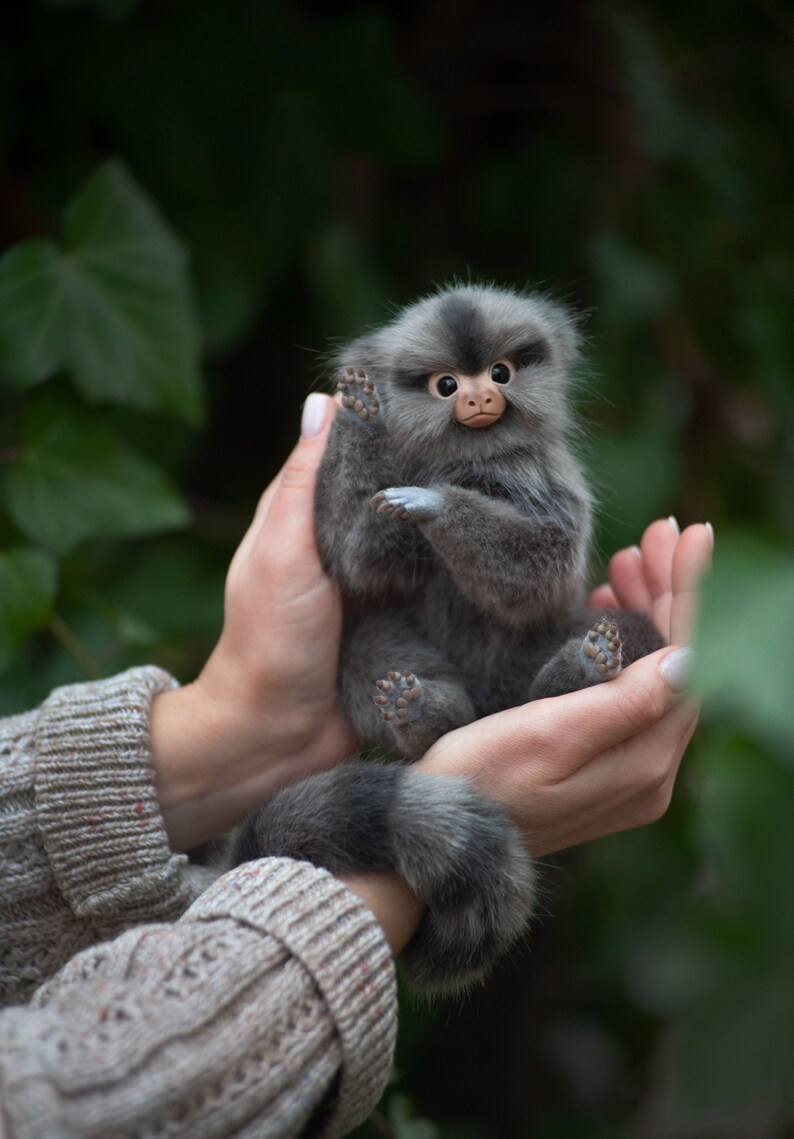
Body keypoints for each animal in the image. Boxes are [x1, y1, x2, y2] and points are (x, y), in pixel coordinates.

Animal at [230, 283, 664, 993]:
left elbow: (539, 572)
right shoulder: (350, 535)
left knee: (630, 633)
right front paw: (362, 418)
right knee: (371, 656)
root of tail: (493, 699)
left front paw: (435, 502)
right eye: (445, 385)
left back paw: (575, 672)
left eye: (501, 373)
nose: (480, 398)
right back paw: (428, 714)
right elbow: (357, 563)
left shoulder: (547, 483)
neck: (469, 458)